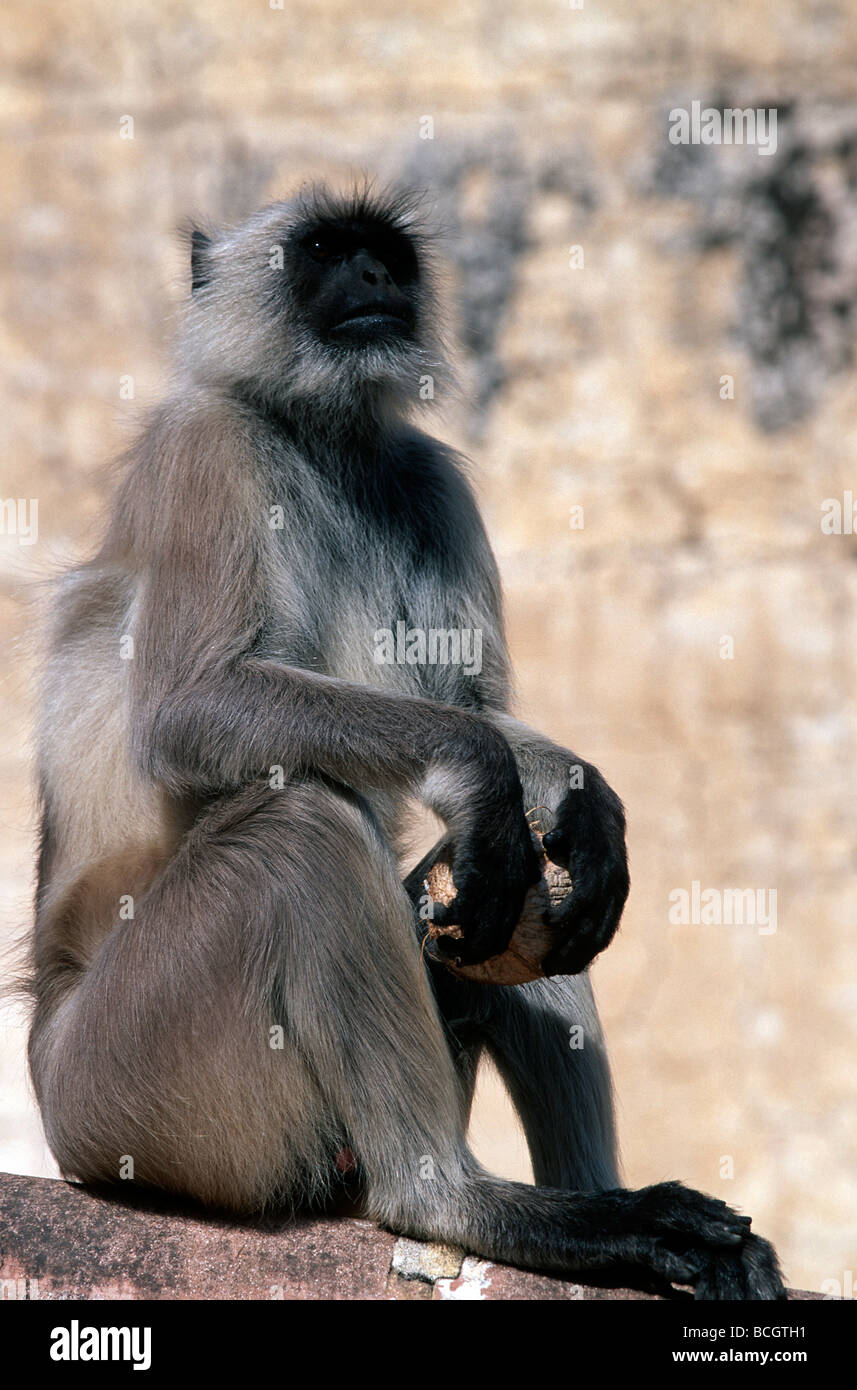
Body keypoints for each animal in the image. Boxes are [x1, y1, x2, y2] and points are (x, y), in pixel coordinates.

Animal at [27, 184, 785, 1299]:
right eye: (322, 250)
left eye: (386, 256)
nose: (375, 280)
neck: (320, 436)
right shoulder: (204, 444)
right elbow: (193, 710)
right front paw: (474, 769)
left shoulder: (427, 479)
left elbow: (486, 723)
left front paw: (584, 793)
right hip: (131, 1086)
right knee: (304, 826)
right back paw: (455, 1202)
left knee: (522, 866)